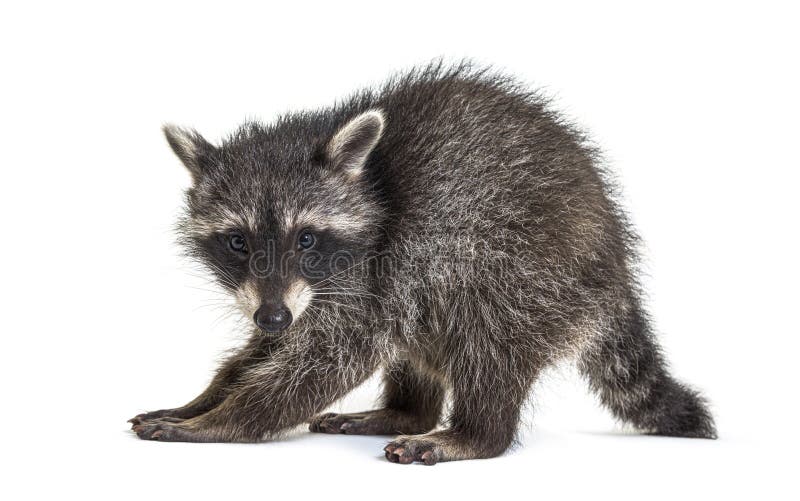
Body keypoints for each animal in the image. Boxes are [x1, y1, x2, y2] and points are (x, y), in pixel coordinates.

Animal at [129, 62, 716, 464]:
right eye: (237, 242)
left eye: (307, 239)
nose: (272, 317)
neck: (372, 187)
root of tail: (615, 261)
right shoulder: (292, 295)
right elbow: (263, 352)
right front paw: (202, 400)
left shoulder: (370, 276)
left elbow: (324, 362)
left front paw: (222, 421)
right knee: (423, 334)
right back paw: (407, 410)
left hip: (529, 271)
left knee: (487, 335)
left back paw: (474, 434)